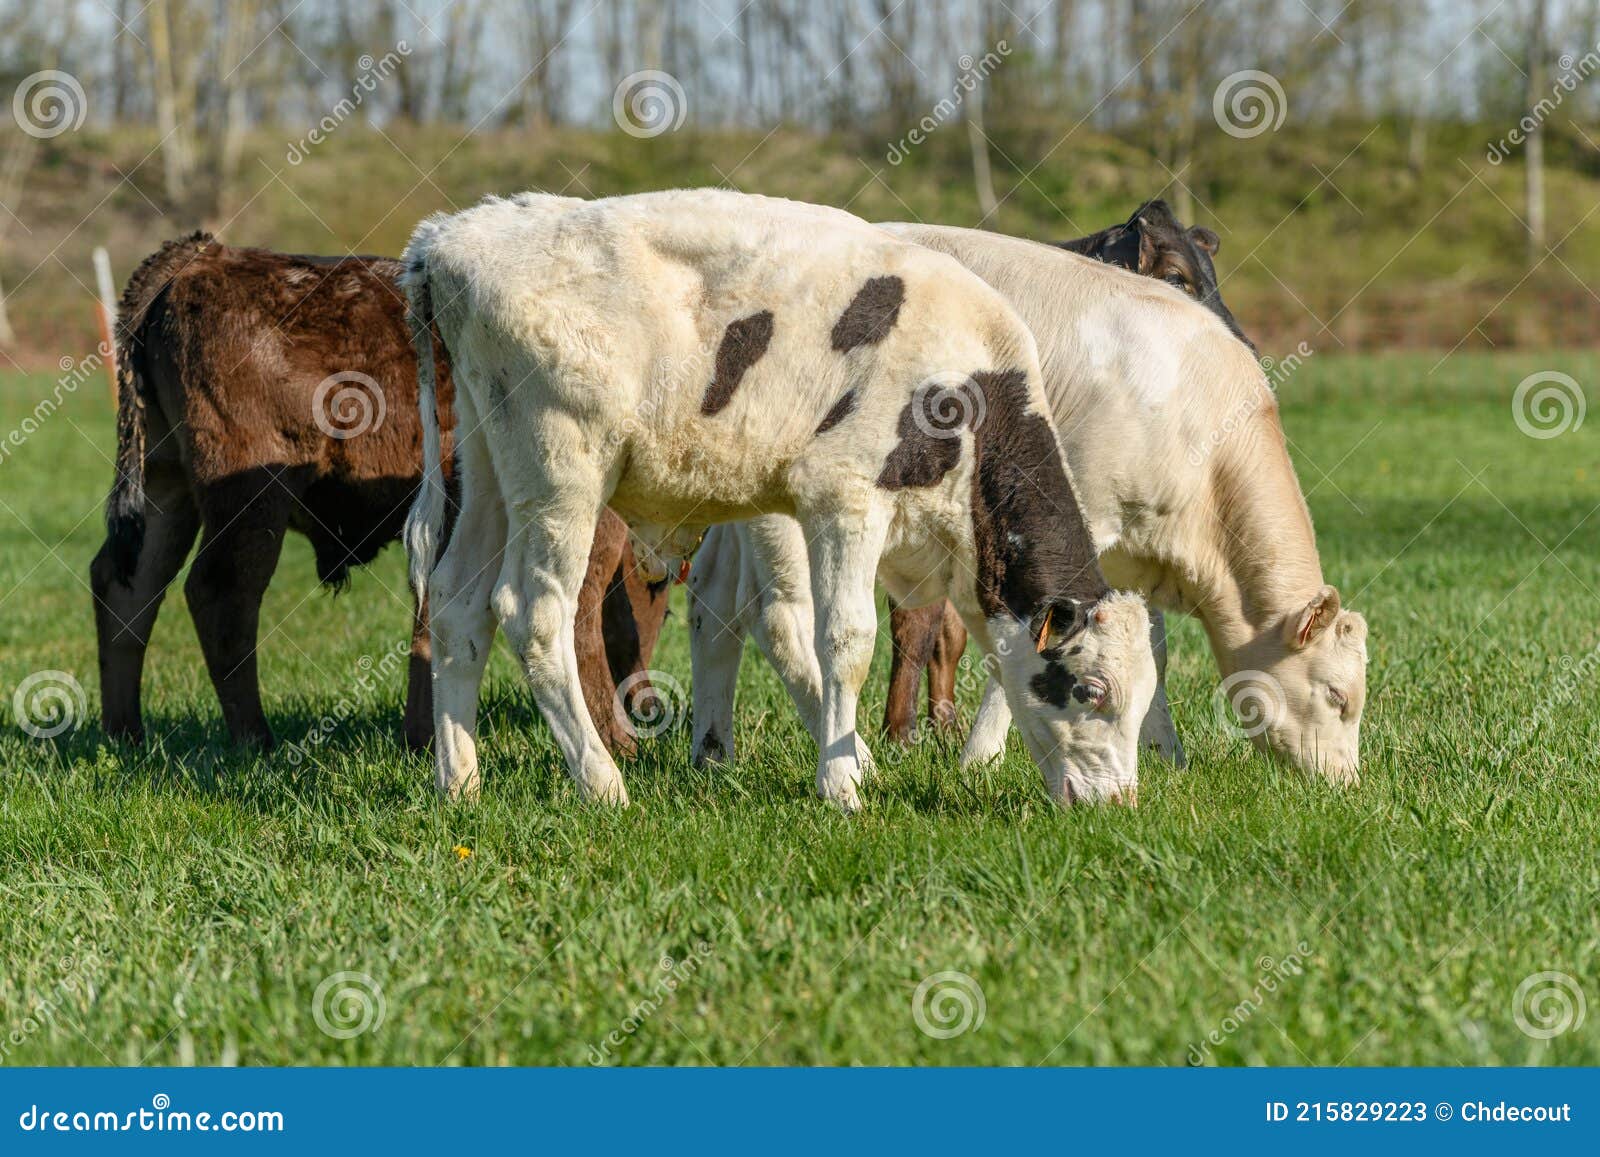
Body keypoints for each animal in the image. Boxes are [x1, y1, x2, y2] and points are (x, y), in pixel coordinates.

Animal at [90, 234, 668, 758]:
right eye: (659, 593)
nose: (647, 703)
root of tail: (203, 256)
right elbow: (581, 609)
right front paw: (616, 742)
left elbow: (431, 619)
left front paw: (426, 737)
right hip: (249, 504)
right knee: (221, 594)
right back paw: (256, 742)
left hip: (167, 488)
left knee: (128, 586)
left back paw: (125, 737)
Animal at [400, 189, 1158, 811]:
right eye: (1092, 690)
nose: (1120, 802)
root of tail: (452, 236)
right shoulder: (845, 501)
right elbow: (845, 641)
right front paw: (843, 784)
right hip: (560, 469)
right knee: (532, 612)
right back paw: (600, 781)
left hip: (489, 461)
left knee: (458, 602)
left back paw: (459, 781)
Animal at [690, 223, 1368, 784]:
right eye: (1338, 696)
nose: (1344, 785)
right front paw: (978, 759)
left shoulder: (1131, 555)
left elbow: (1152, 648)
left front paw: (1166, 755)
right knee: (781, 620)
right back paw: (855, 761)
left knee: (712, 602)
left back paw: (712, 754)